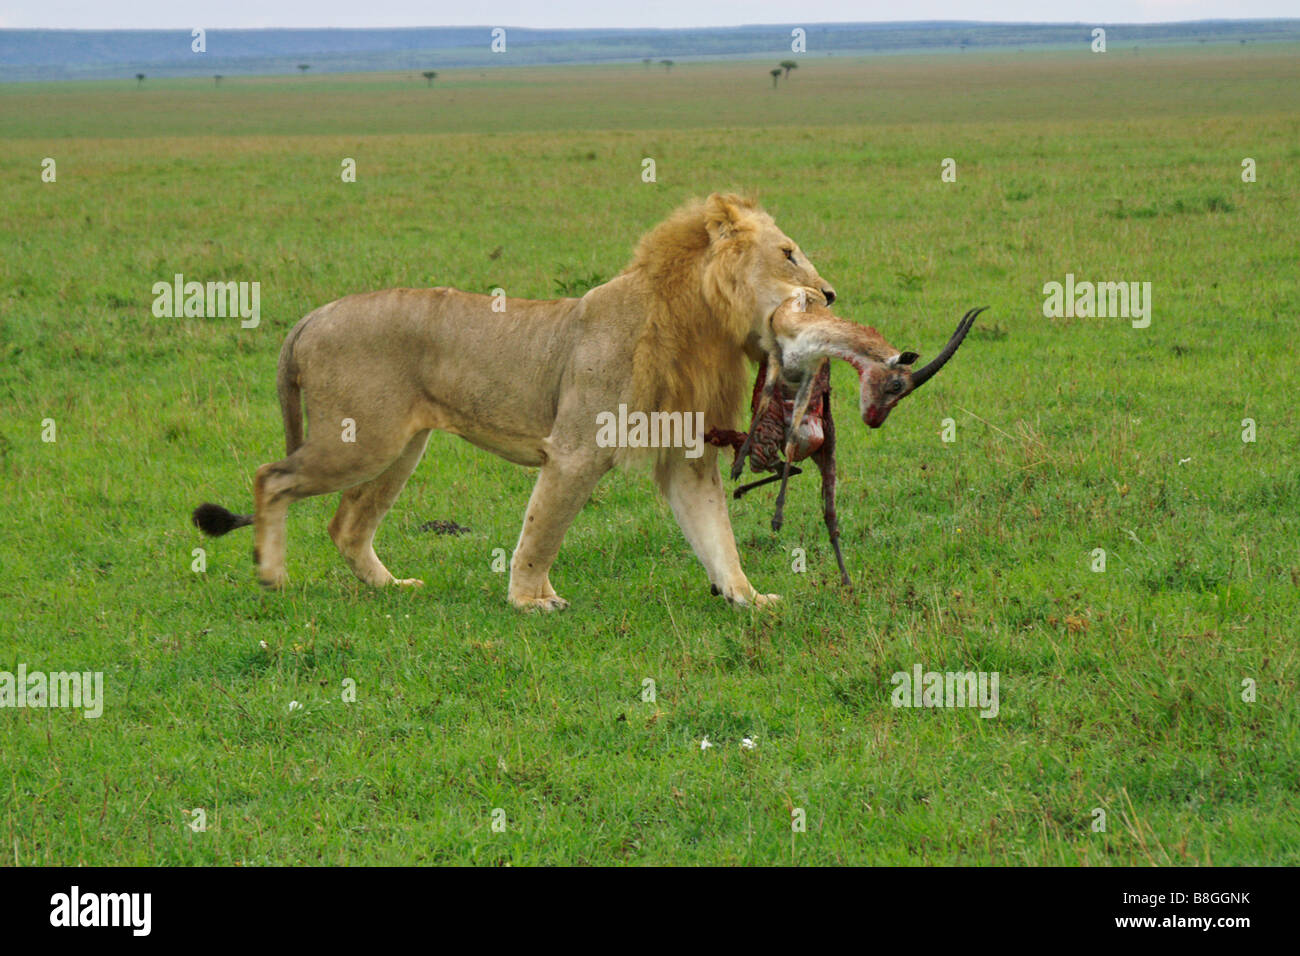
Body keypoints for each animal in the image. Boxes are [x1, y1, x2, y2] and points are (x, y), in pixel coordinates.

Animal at [192, 193, 836, 610]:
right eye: (788, 254)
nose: (830, 293)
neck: (700, 322)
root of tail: (311, 316)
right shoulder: (575, 451)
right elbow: (542, 532)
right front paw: (529, 600)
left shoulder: (686, 457)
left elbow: (716, 536)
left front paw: (749, 597)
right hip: (362, 441)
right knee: (271, 476)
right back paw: (272, 576)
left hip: (400, 447)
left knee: (346, 524)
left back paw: (390, 589)